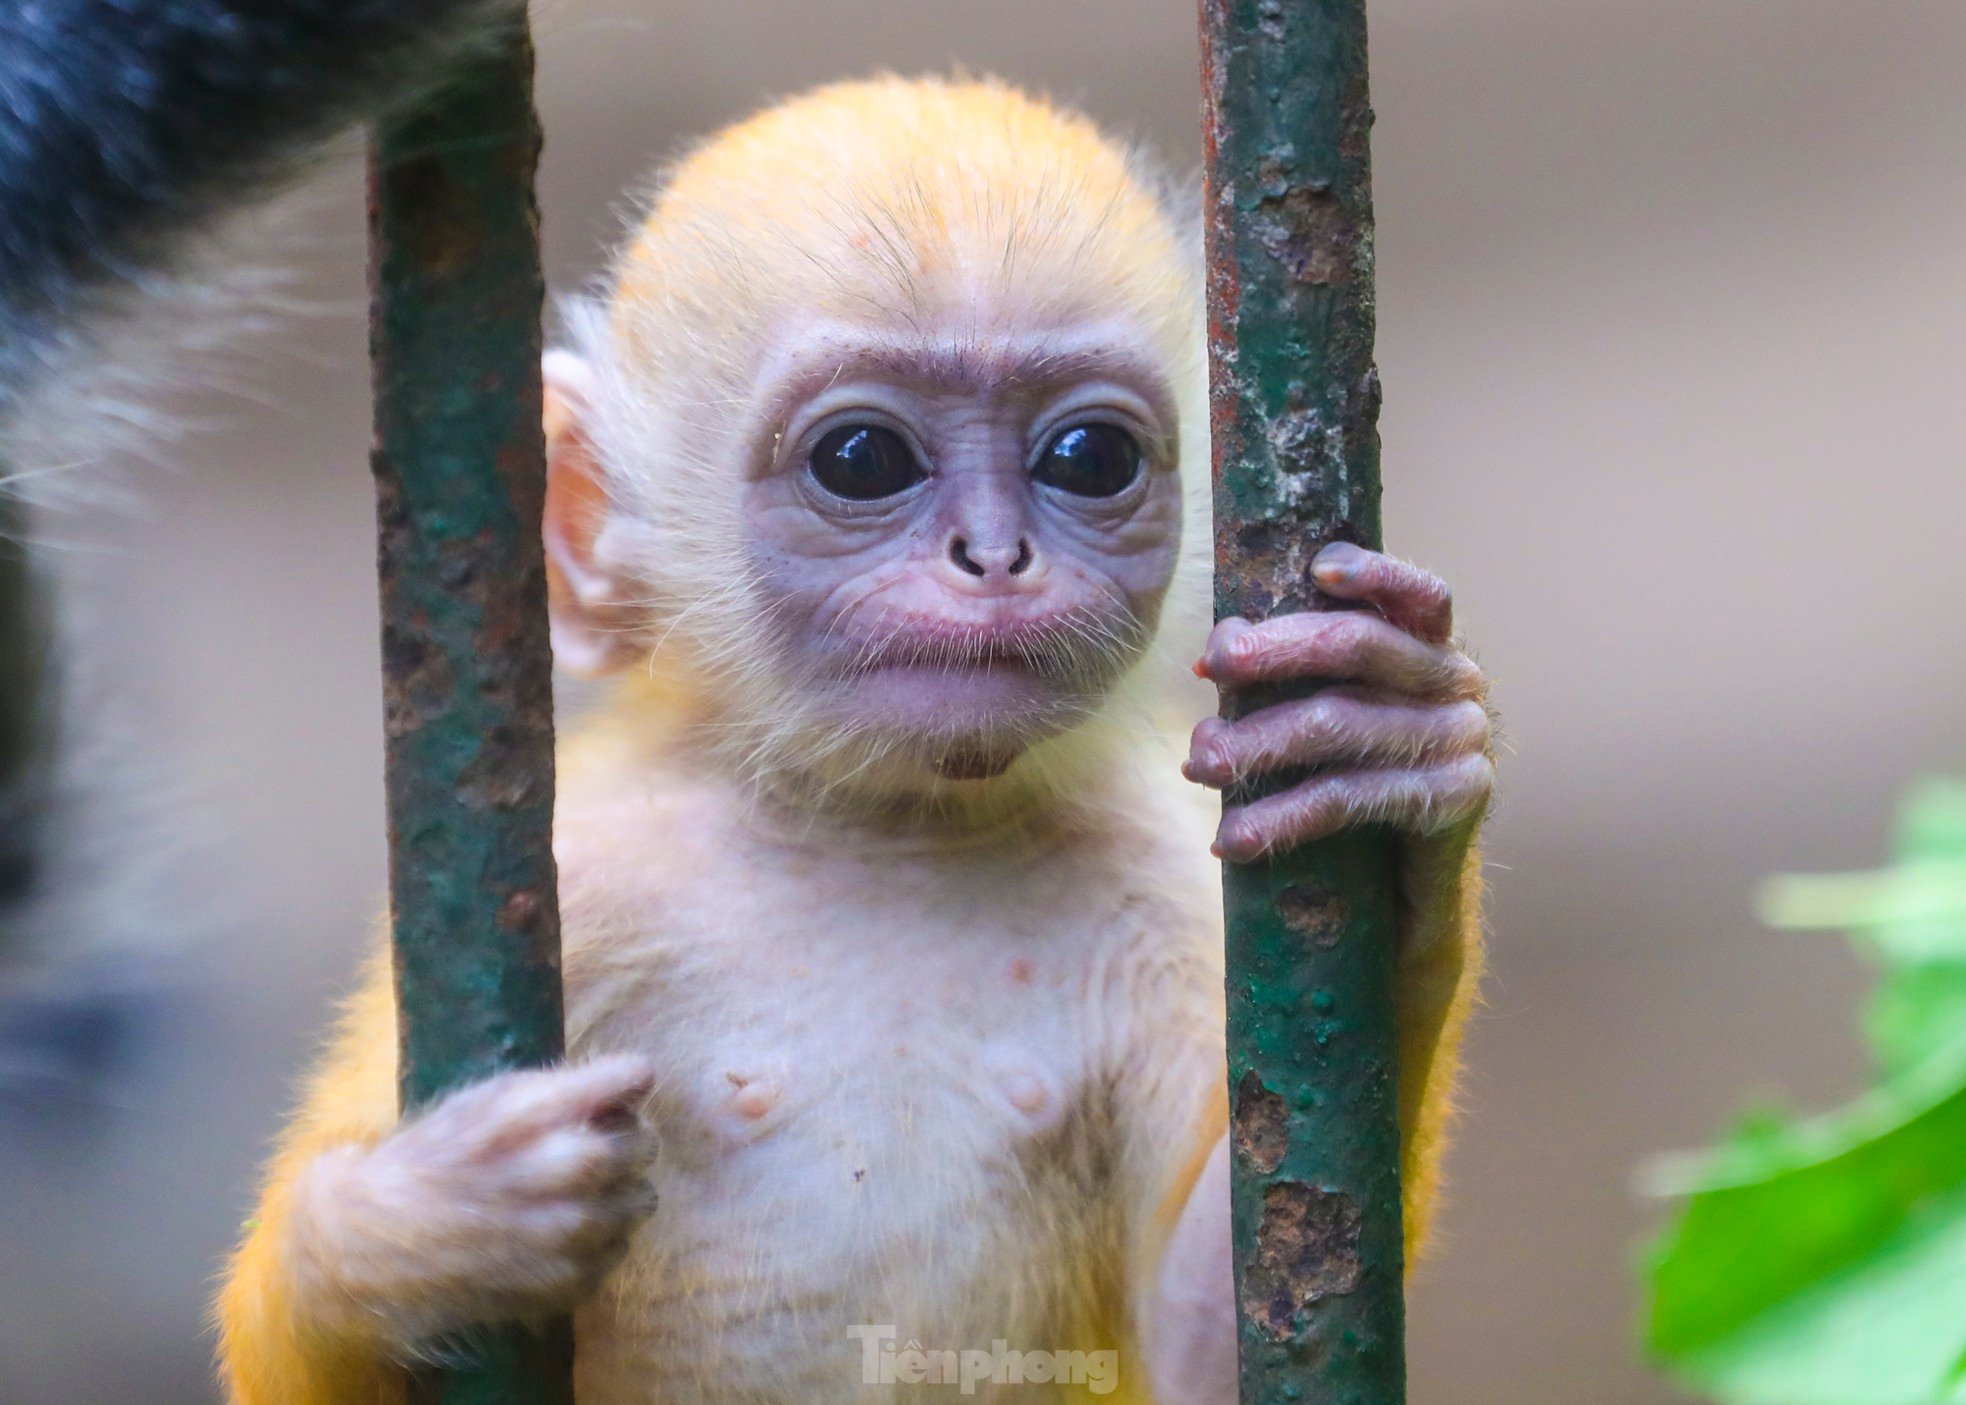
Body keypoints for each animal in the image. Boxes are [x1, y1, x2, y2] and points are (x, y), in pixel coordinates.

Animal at [215, 74, 1478, 1405]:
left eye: (1090, 459)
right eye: (861, 459)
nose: (993, 558)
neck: (881, 833)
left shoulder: (1168, 890)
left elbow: (1222, 1326)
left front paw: (1393, 773)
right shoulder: (588, 876)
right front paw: (401, 1233)